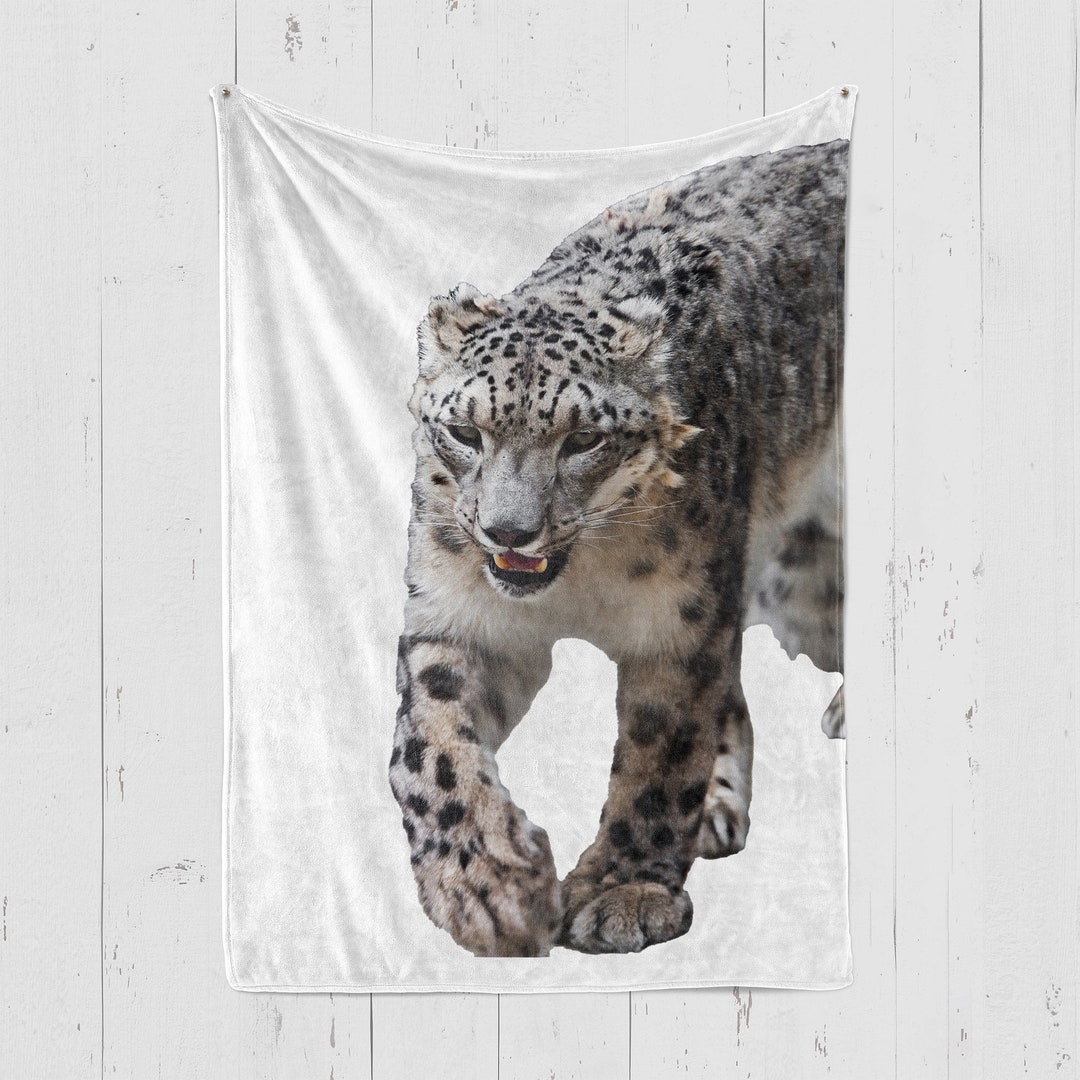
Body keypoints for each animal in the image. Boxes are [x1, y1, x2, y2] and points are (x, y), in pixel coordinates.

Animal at [388, 138, 849, 957]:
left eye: (583, 440)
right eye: (466, 431)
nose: (509, 532)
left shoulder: (678, 622)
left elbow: (660, 754)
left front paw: (622, 892)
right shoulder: (457, 611)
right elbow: (431, 744)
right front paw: (489, 883)